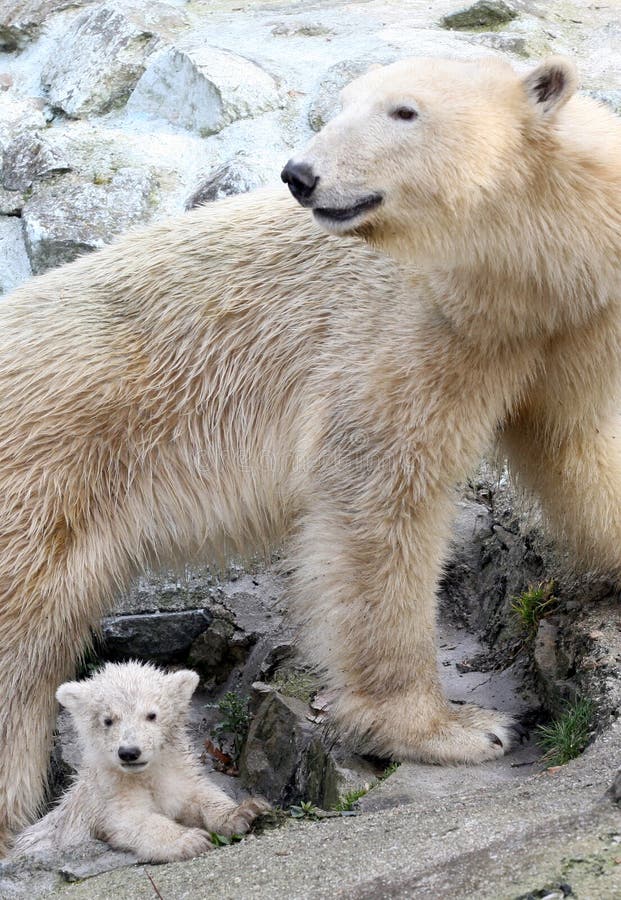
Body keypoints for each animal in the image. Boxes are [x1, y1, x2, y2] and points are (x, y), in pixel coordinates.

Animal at [12, 662, 268, 863]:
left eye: (151, 715)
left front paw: (244, 812)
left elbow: (198, 795)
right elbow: (133, 820)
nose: (129, 752)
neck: (143, 775)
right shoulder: (106, 797)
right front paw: (190, 839)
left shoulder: (174, 777)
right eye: (108, 720)